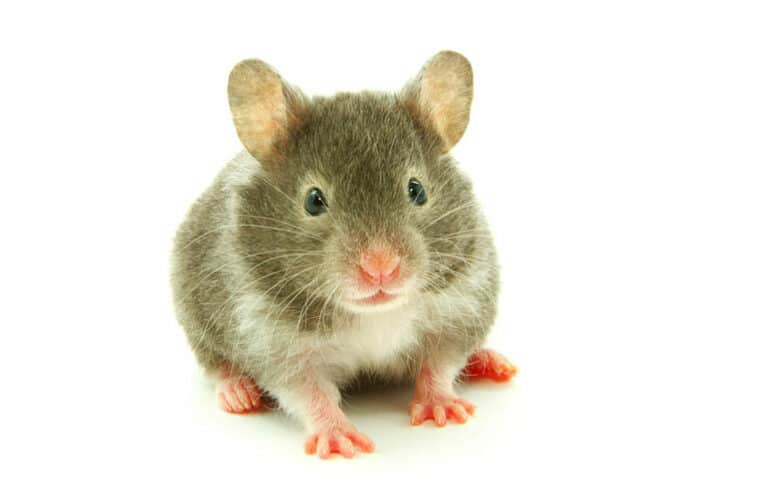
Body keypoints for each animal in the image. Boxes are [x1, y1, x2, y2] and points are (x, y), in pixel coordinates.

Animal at [170, 51, 516, 459]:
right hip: (195, 314)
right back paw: (239, 394)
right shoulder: (275, 343)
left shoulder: (461, 305)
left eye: (417, 190)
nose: (381, 269)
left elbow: (440, 364)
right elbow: (309, 394)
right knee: (217, 362)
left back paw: (490, 361)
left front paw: (443, 411)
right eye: (313, 200)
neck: (372, 313)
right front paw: (340, 442)